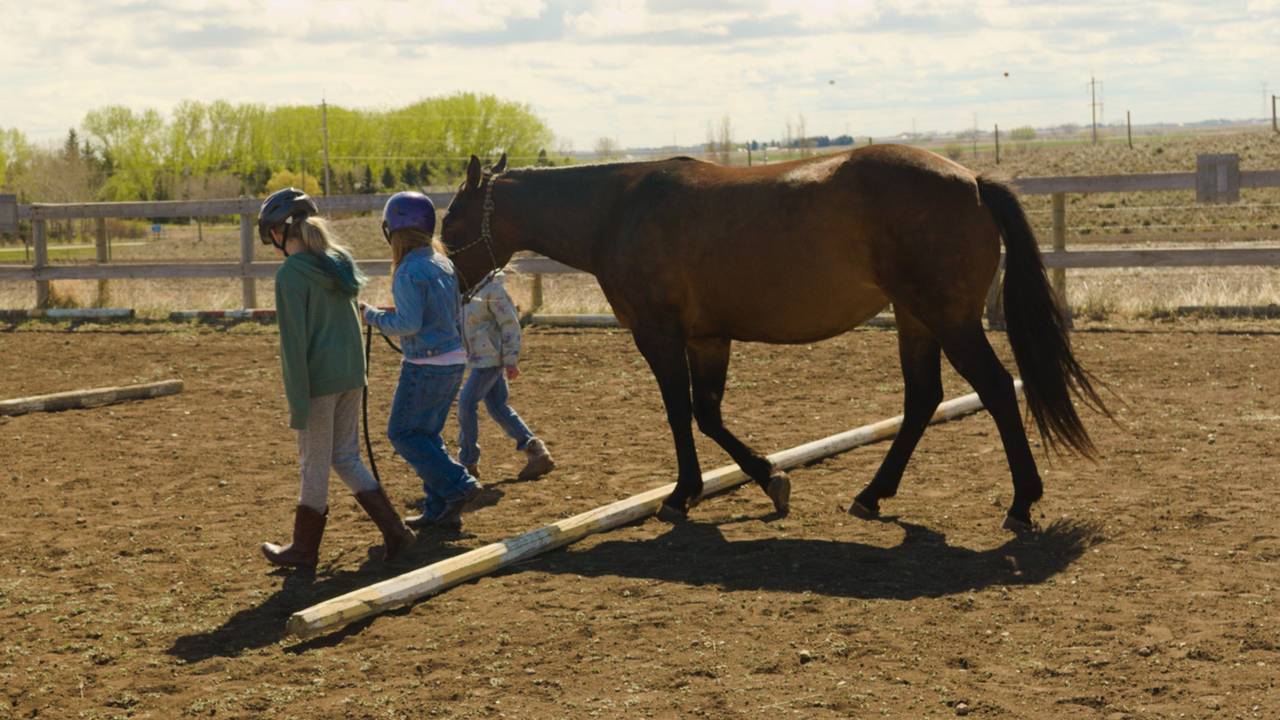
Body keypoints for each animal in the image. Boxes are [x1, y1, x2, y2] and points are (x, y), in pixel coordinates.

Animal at [439, 146, 1107, 532]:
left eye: (450, 219)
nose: (453, 288)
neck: (618, 211)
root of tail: (971, 179)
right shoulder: (708, 337)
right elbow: (708, 414)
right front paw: (770, 479)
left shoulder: (659, 335)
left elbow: (680, 414)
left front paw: (682, 496)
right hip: (918, 321)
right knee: (923, 400)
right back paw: (872, 495)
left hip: (947, 318)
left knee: (994, 389)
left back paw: (1021, 501)